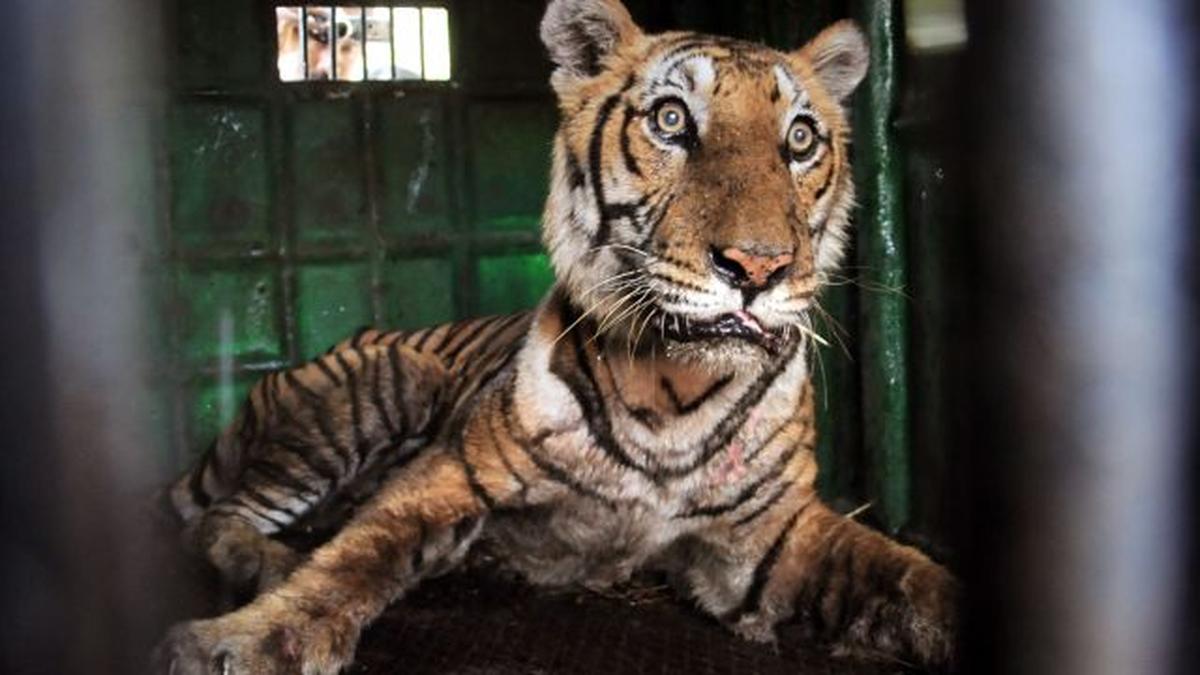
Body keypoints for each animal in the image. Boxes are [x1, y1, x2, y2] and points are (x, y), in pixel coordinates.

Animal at [158, 0, 958, 672]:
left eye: (799, 138)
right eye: (672, 120)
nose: (759, 266)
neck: (674, 389)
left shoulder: (772, 535)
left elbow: (906, 574)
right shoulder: (454, 473)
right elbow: (357, 554)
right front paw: (243, 640)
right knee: (218, 518)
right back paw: (274, 563)